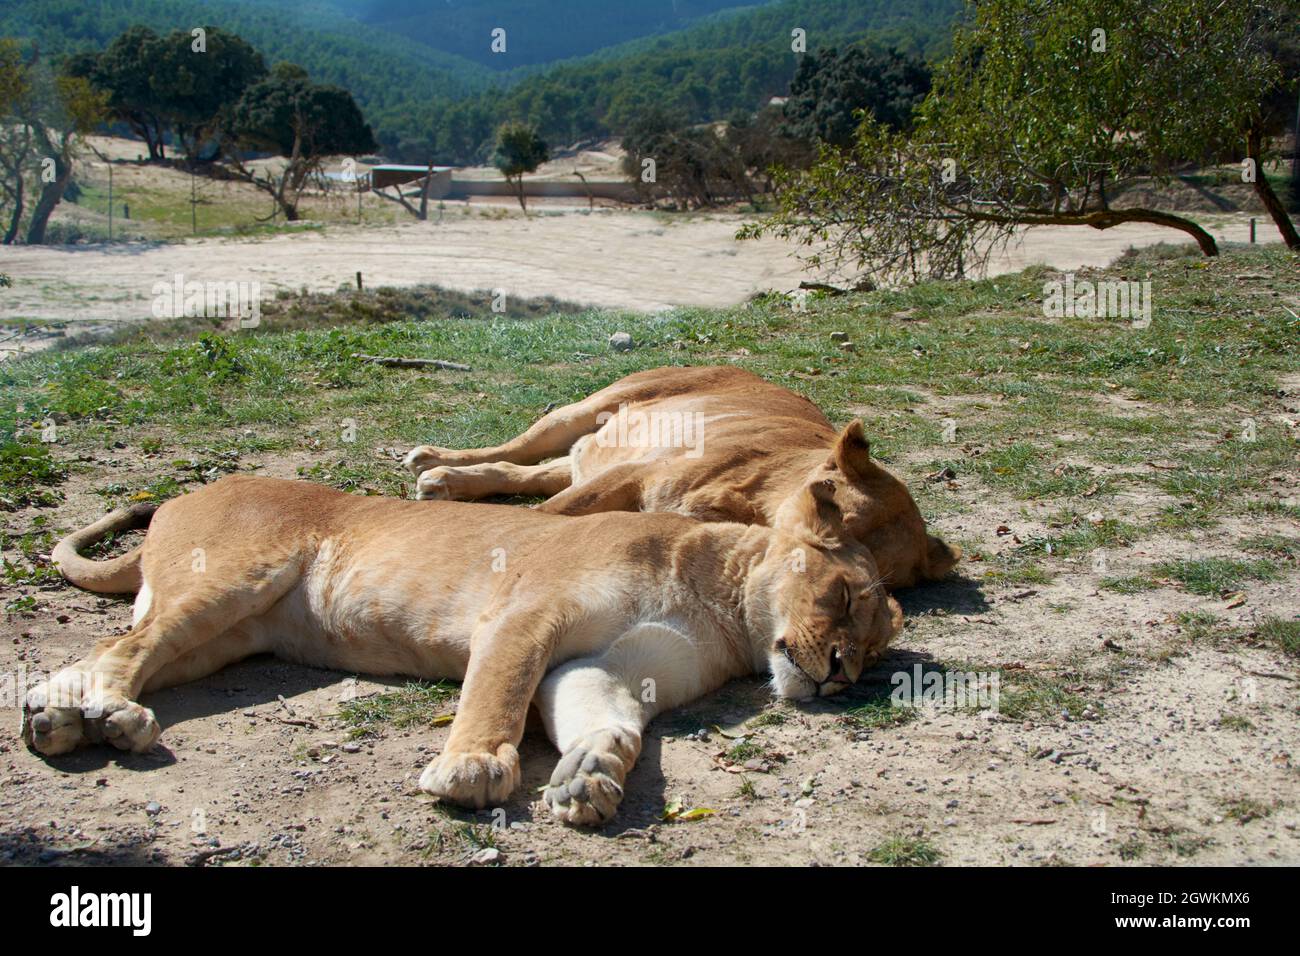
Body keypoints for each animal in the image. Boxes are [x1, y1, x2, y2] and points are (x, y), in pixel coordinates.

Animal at [30, 474, 901, 825]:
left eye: (875, 655)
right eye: (845, 598)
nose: (838, 678)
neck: (722, 605)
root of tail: (185, 492)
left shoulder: (602, 665)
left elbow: (603, 717)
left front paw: (592, 774)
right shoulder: (524, 612)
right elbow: (500, 694)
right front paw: (474, 768)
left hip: (234, 636)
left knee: (122, 648)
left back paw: (65, 719)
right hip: (236, 578)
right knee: (122, 646)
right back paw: (102, 715)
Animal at [404, 365, 959, 590]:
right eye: (834, 517)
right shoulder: (635, 473)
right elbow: (547, 516)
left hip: (588, 453)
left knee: (524, 471)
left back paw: (445, 481)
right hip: (588, 410)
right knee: (518, 449)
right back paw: (431, 460)